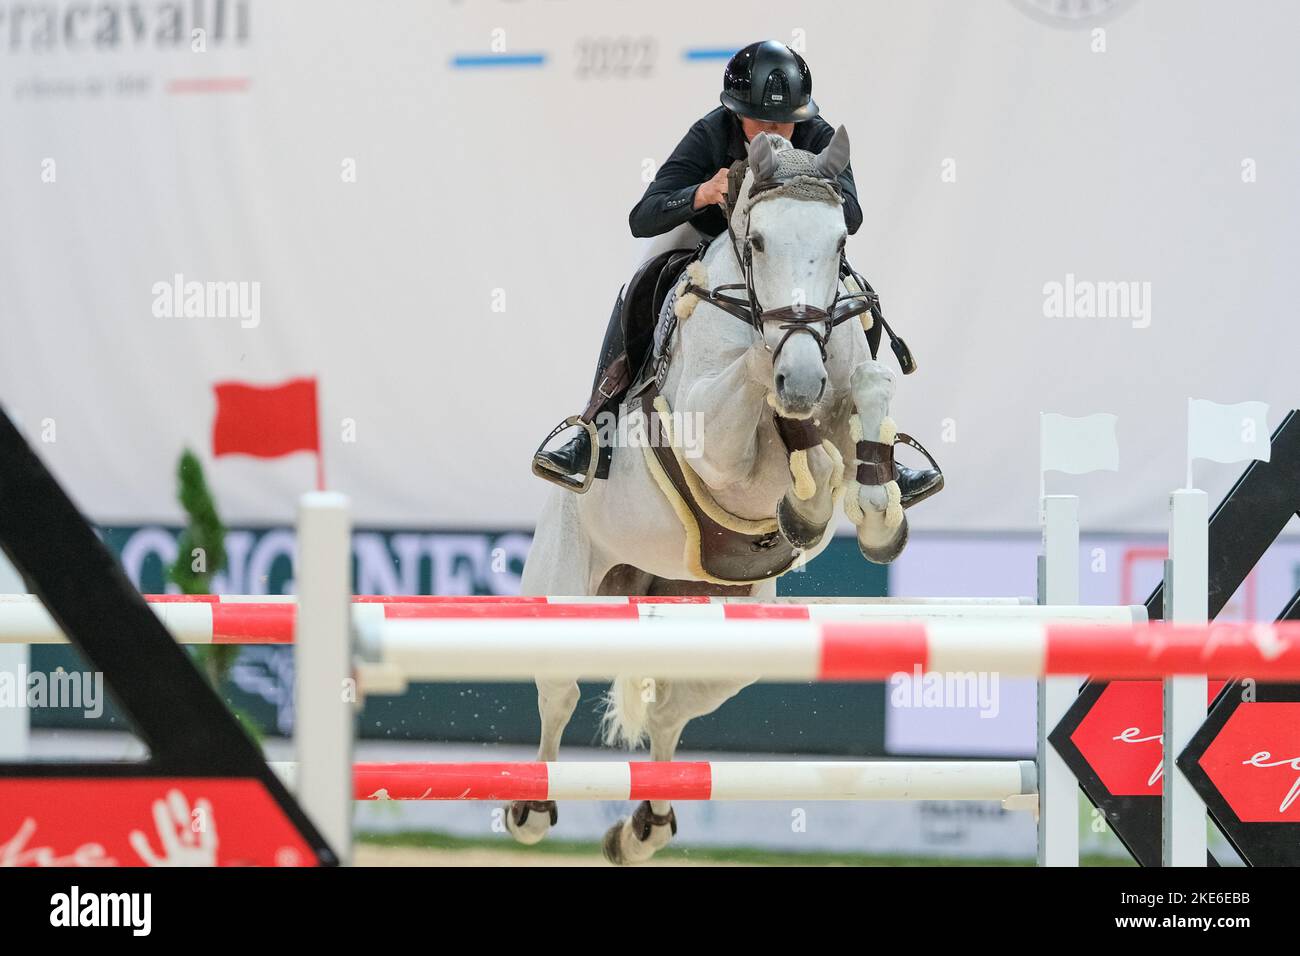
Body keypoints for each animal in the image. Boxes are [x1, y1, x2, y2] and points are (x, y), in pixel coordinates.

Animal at [515, 127, 908, 864]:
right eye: (759, 242)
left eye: (840, 240)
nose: (801, 380)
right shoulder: (711, 435)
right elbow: (769, 414)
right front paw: (805, 502)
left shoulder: (839, 388)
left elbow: (864, 398)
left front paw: (874, 514)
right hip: (564, 592)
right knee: (559, 694)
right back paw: (529, 807)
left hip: (731, 638)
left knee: (670, 709)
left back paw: (645, 827)